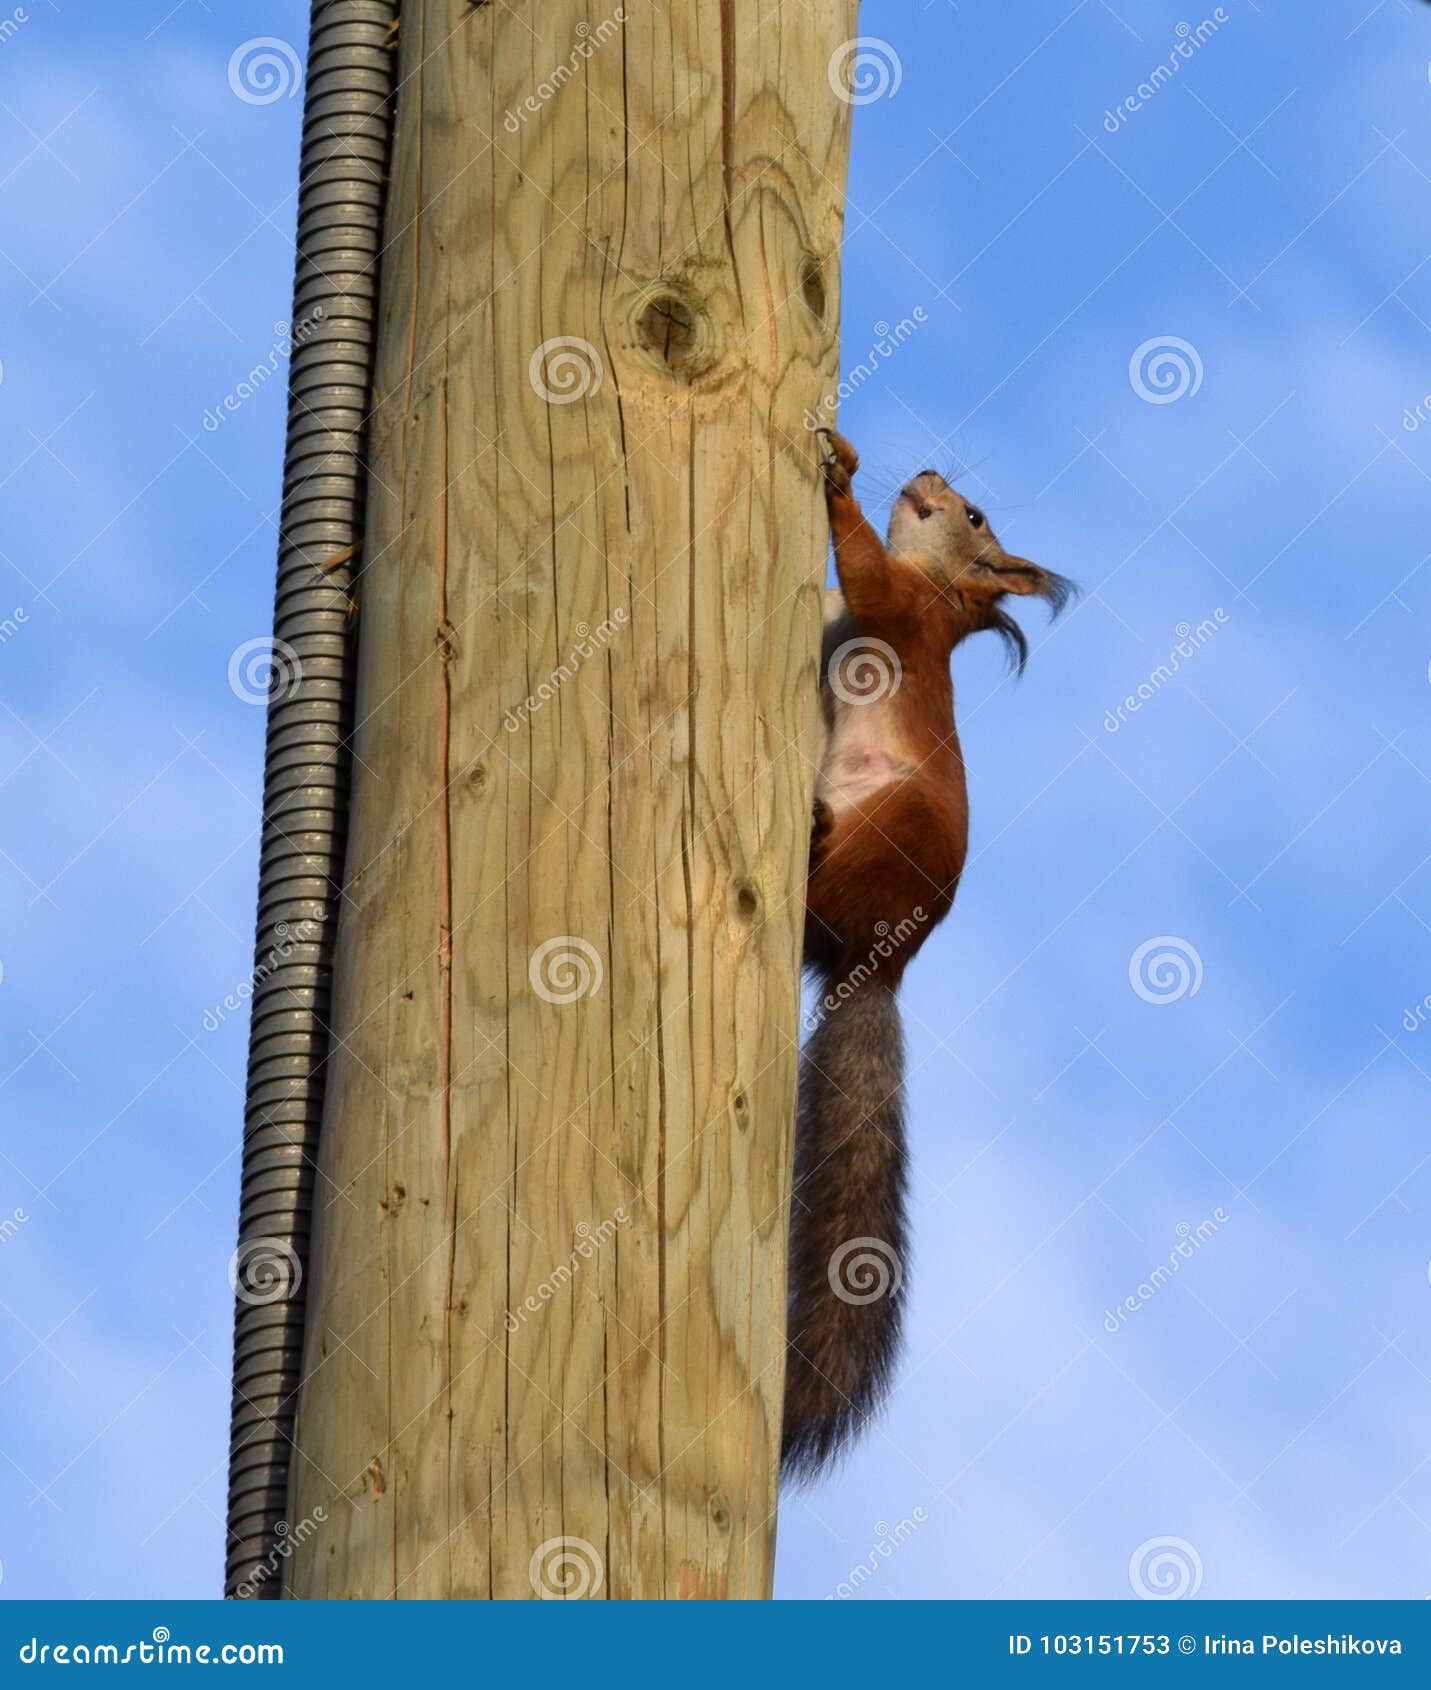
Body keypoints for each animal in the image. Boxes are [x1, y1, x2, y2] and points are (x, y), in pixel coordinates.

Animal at [781, 427, 1073, 1481]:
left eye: (974, 516)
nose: (930, 473)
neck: (942, 596)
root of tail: (880, 968)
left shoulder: (894, 611)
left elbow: (864, 572)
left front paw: (841, 466)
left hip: (891, 830)